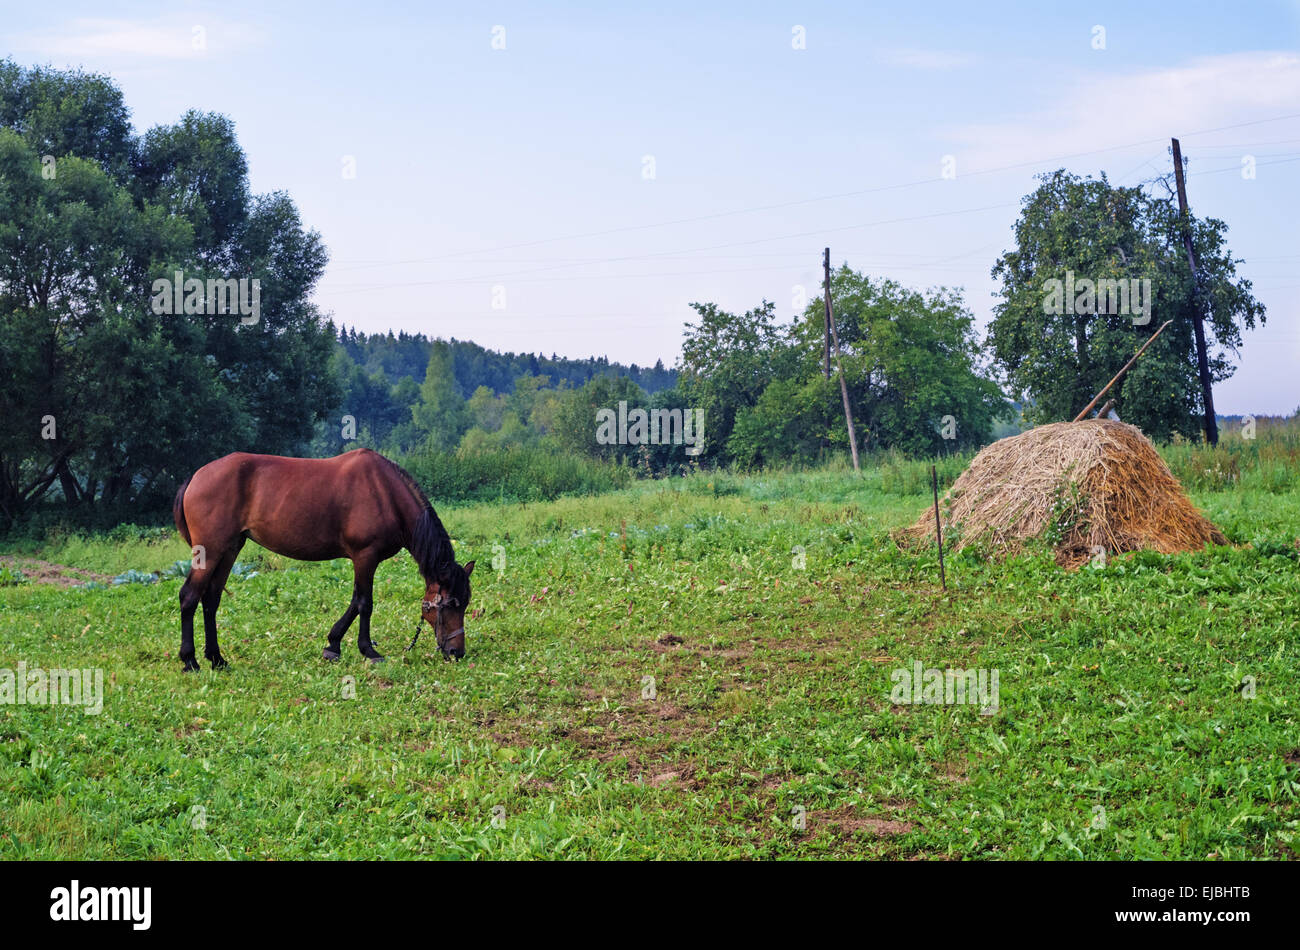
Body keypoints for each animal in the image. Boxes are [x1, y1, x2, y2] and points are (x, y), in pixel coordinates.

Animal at [171, 448, 474, 672]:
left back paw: (217, 659)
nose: (456, 652)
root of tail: (196, 477)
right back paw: (190, 660)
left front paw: (333, 644)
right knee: (189, 597)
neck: (385, 492)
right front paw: (368, 650)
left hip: (230, 549)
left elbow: (355, 602)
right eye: (451, 604)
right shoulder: (365, 556)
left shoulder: (362, 560)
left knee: (210, 600)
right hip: (210, 552)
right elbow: (364, 603)